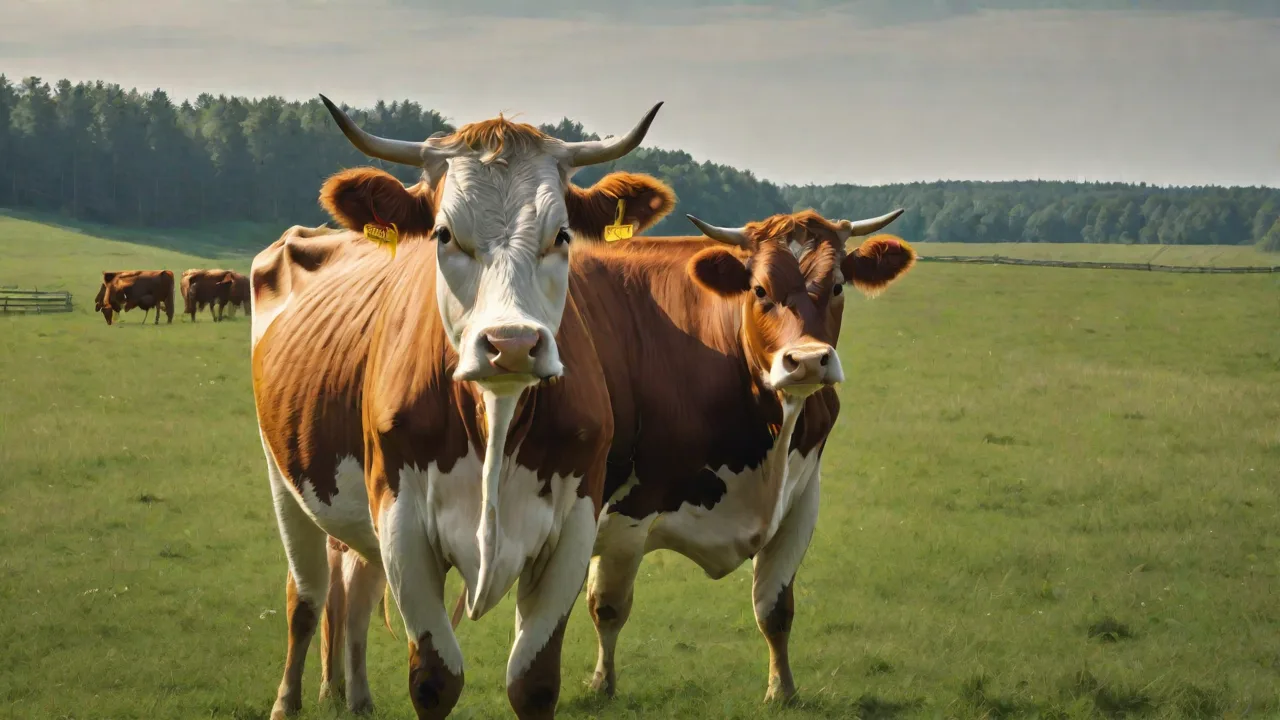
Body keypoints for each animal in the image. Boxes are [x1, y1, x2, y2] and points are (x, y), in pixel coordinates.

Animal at [251, 96, 672, 720]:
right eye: (445, 234)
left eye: (562, 235)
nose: (512, 344)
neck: (495, 416)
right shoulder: (400, 518)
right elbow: (434, 679)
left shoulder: (575, 523)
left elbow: (534, 681)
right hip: (284, 480)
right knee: (306, 598)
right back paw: (288, 699)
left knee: (354, 593)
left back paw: (353, 694)